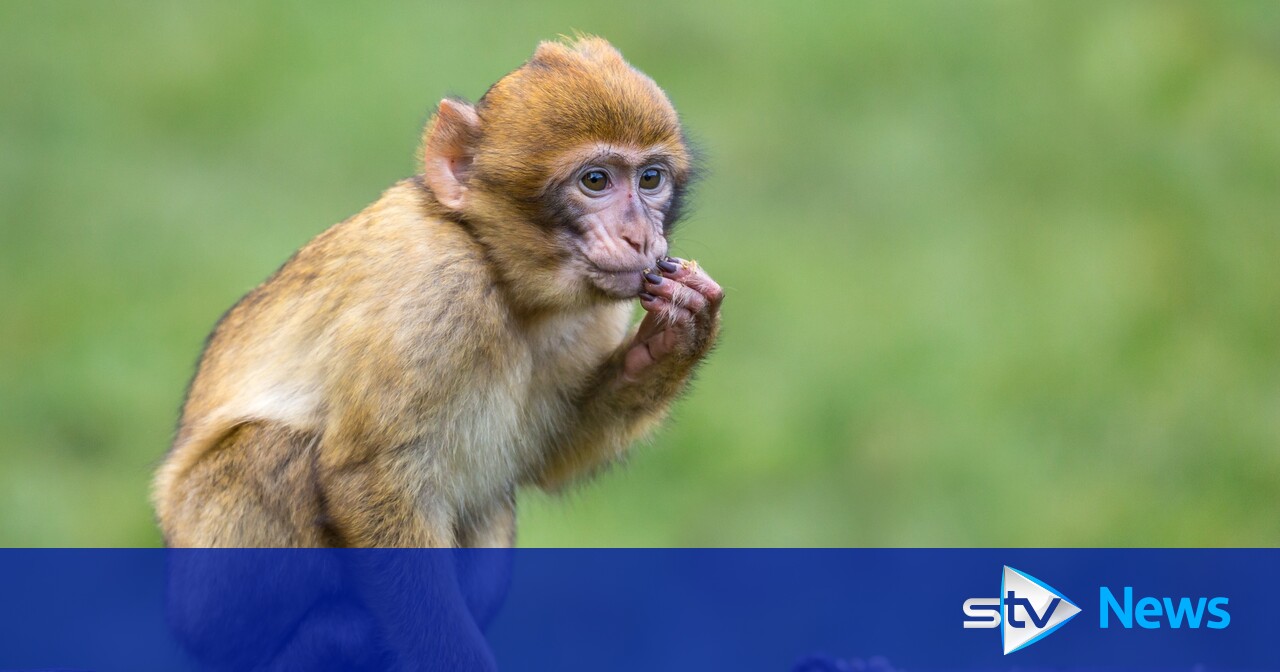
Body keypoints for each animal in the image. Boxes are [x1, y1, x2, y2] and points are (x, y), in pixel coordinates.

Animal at [152, 36, 723, 551]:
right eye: (596, 181)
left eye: (650, 178)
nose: (640, 238)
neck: (502, 275)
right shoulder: (437, 291)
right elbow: (371, 478)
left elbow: (548, 457)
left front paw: (676, 337)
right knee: (270, 445)